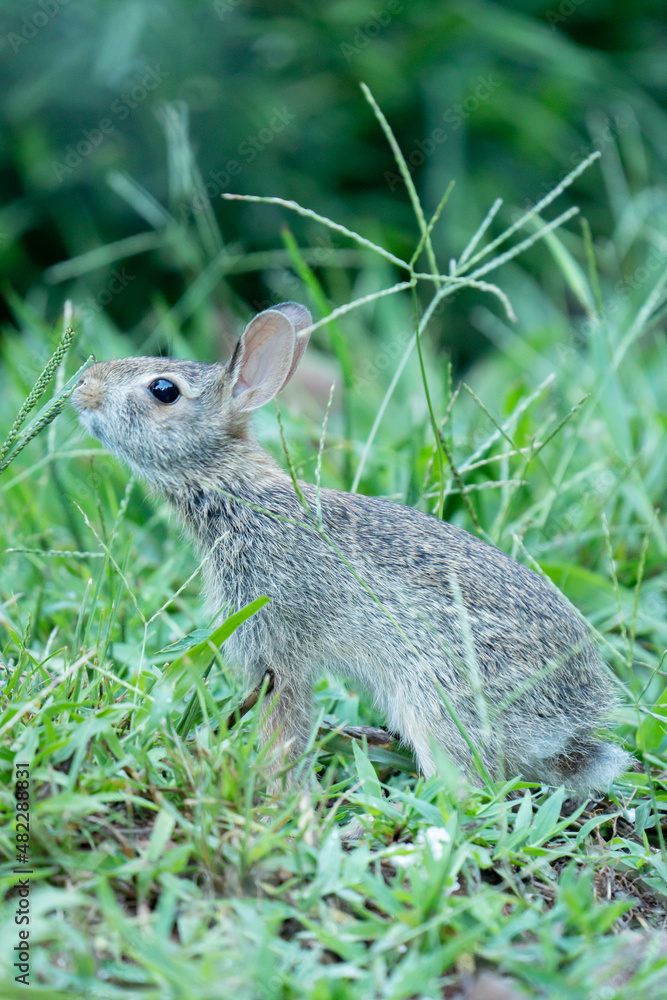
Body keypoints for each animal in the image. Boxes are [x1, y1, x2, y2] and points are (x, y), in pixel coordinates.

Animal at [72, 302, 630, 792]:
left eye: (163, 390)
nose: (82, 386)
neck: (235, 491)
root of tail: (571, 723)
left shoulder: (276, 646)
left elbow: (283, 721)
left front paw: (278, 792)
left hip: (437, 698)